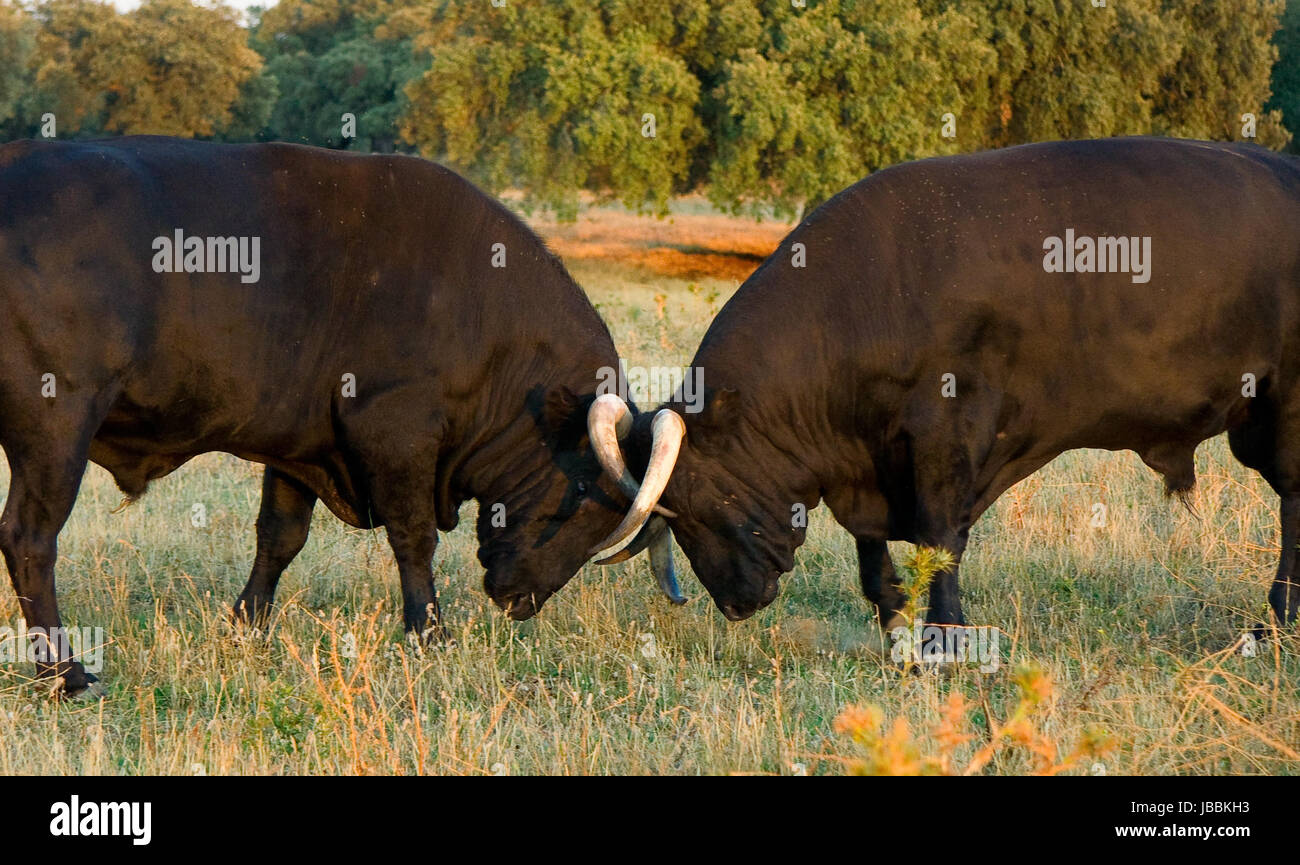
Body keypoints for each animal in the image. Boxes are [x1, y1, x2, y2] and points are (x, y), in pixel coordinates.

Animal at [0, 136, 674, 697]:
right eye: (582, 495)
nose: (521, 599)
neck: (487, 319)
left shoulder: (295, 445)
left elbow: (279, 537)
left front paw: (246, 627)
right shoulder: (398, 436)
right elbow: (414, 538)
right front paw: (429, 634)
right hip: (57, 429)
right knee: (29, 539)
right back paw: (67, 675)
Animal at [588, 137, 1300, 640]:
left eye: (692, 505)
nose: (735, 604)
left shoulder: (946, 432)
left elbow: (939, 535)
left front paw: (945, 635)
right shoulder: (866, 457)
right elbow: (871, 547)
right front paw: (892, 620)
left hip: (1285, 404)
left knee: (1293, 503)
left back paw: (1277, 621)